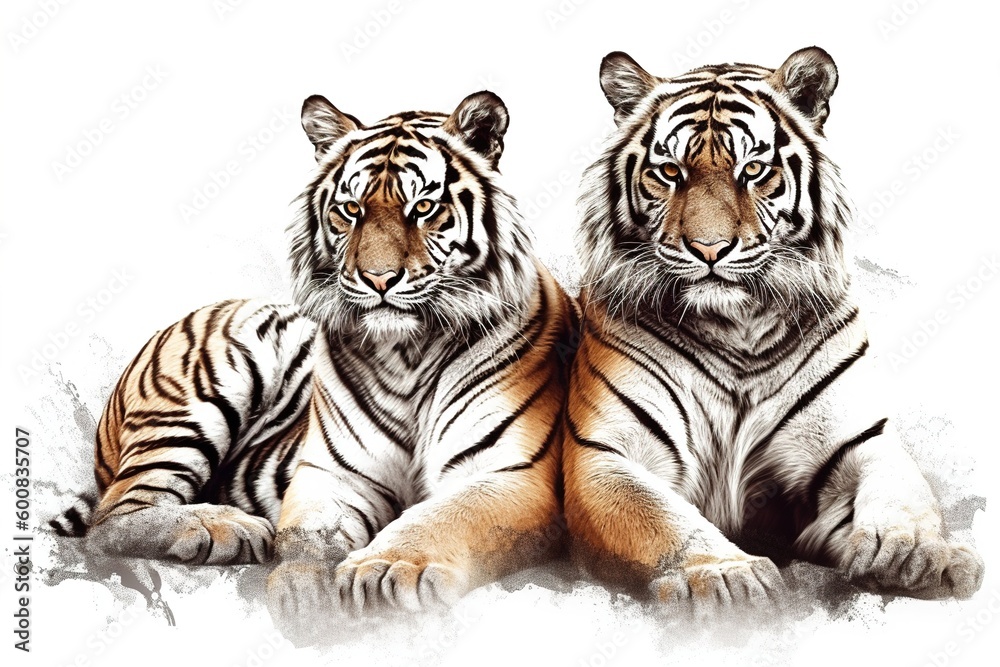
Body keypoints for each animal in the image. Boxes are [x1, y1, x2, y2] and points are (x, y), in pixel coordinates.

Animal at [57, 90, 575, 626]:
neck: (408, 350)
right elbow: (309, 536)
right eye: (351, 208)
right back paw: (228, 529)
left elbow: (442, 518)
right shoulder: (334, 474)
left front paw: (383, 569)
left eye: (424, 207)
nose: (379, 278)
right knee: (112, 518)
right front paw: (308, 595)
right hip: (195, 402)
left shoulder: (508, 474)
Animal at [562, 46, 984, 607]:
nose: (710, 249)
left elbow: (902, 486)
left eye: (754, 169)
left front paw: (917, 552)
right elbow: (662, 519)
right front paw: (727, 574)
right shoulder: (604, 454)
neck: (737, 325)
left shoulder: (856, 442)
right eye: (670, 171)